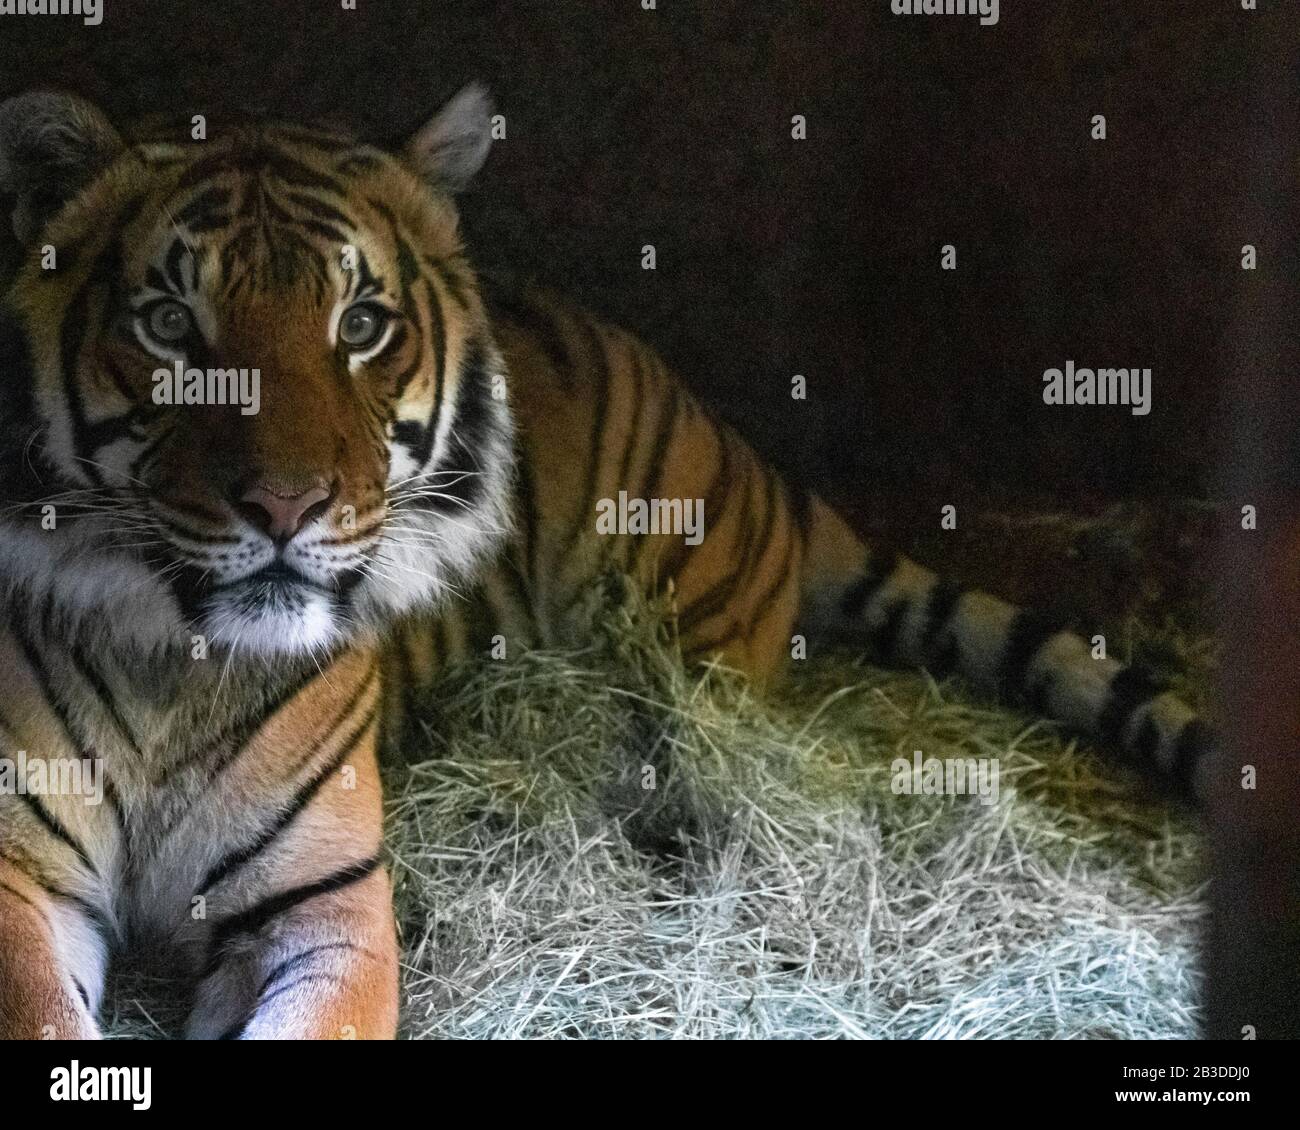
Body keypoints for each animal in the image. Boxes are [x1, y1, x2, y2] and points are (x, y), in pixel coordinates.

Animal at [0, 84, 1215, 1040]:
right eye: (169, 324)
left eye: (361, 323)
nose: (289, 504)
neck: (180, 667)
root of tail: (749, 453)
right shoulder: (17, 876)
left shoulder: (329, 903)